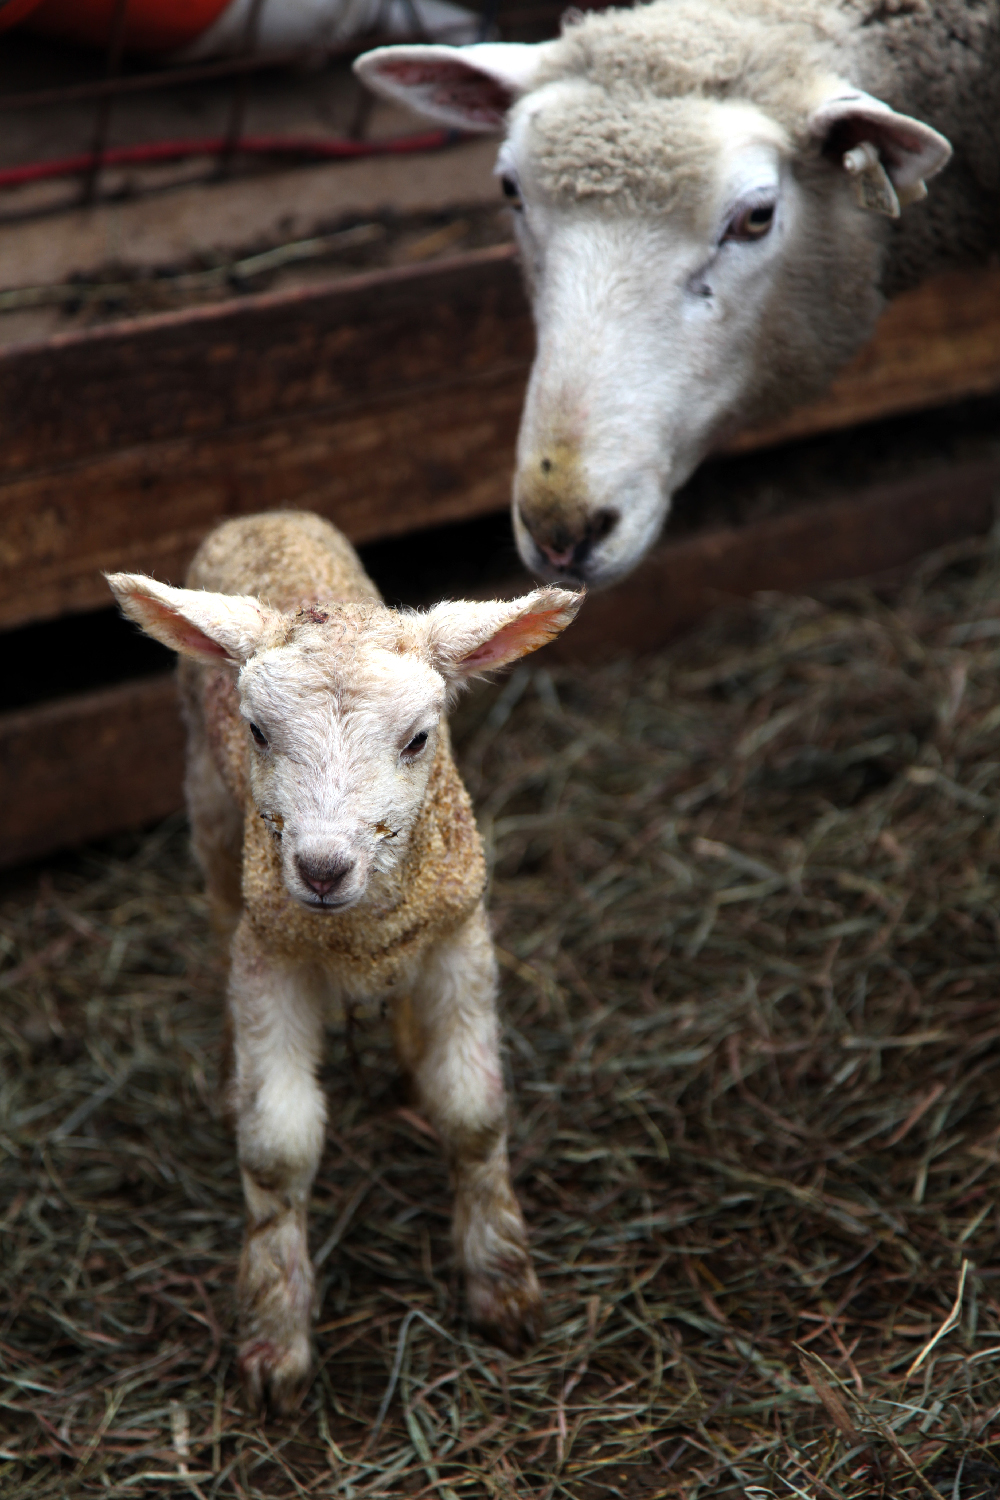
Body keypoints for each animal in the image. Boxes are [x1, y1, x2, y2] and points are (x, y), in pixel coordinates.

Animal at [106, 511, 581, 1414]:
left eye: (420, 739)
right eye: (258, 731)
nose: (322, 869)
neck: (353, 933)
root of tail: (264, 516)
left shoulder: (460, 938)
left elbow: (474, 1115)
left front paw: (502, 1284)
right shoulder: (270, 957)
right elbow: (277, 1150)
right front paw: (274, 1337)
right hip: (210, 818)